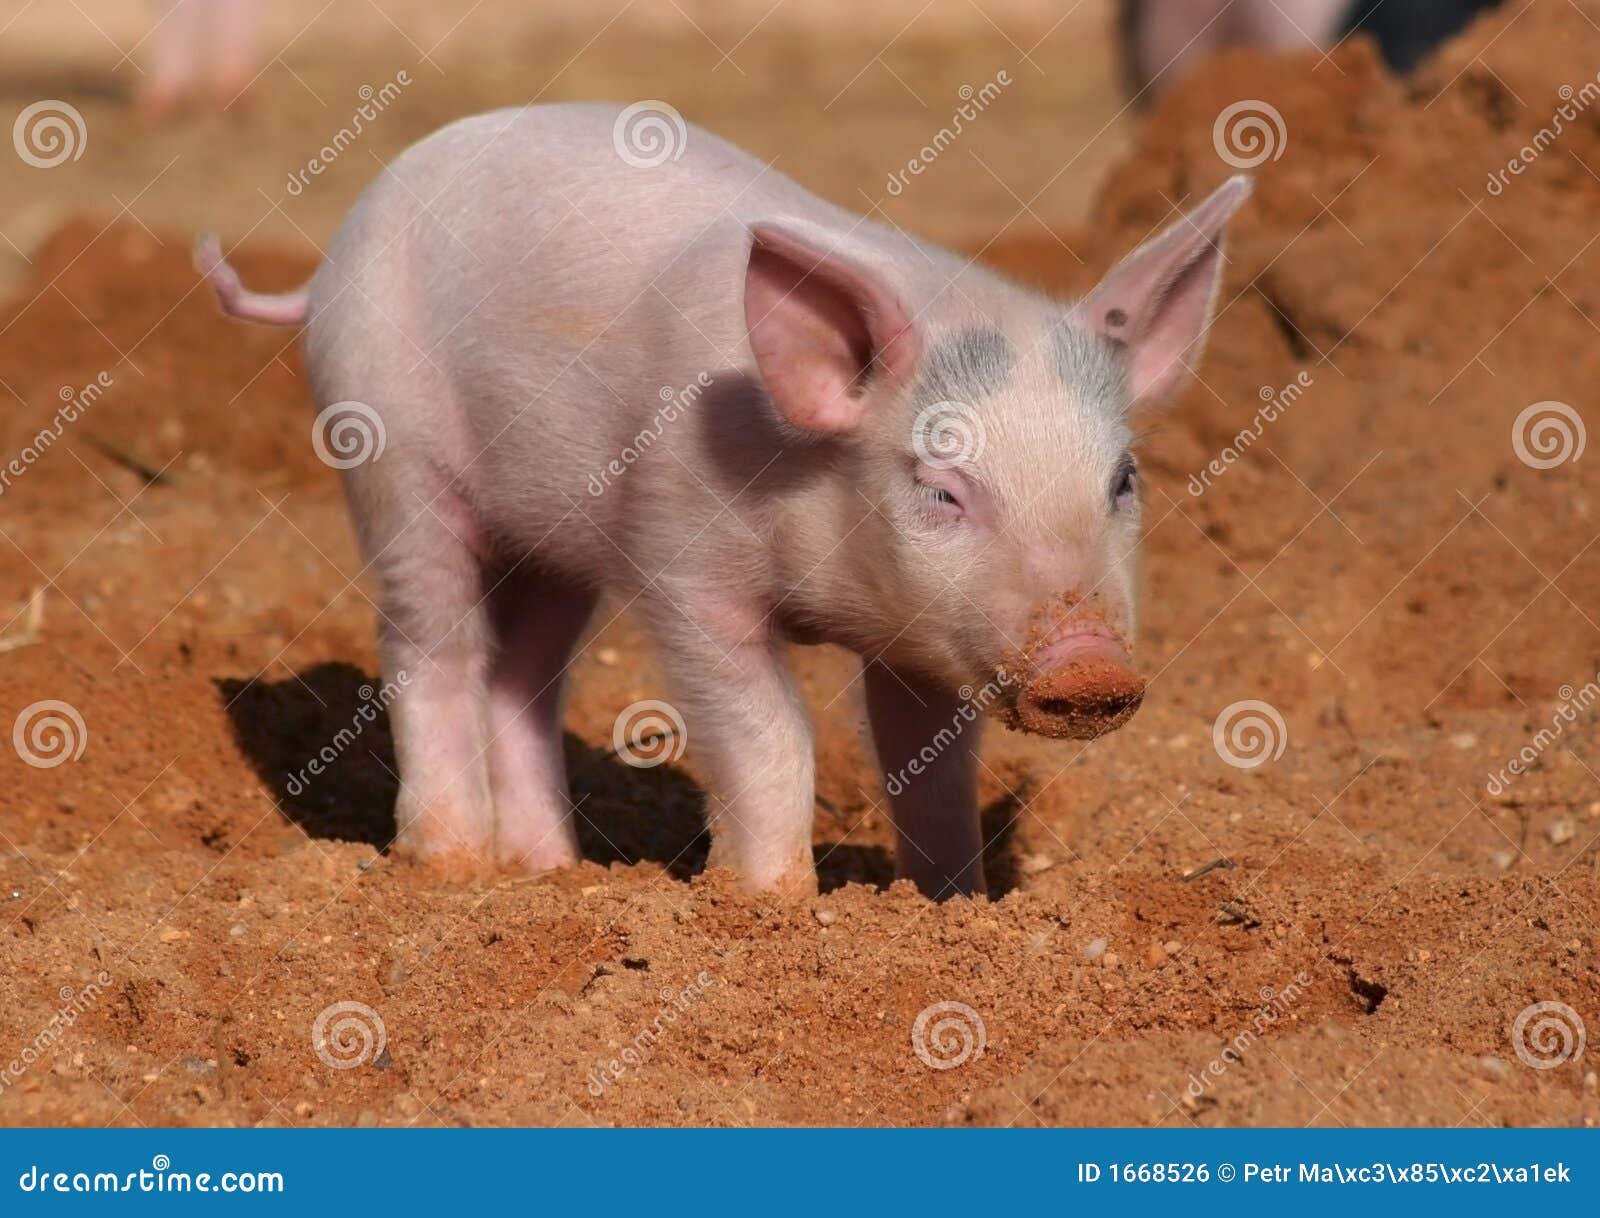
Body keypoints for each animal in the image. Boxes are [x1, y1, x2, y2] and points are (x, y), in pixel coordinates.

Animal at [196, 103, 1249, 899]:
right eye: (943, 489)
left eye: (1122, 479)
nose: (1092, 667)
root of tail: (327, 265)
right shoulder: (681, 561)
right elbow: (773, 732)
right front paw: (770, 901)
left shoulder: (923, 637)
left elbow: (932, 768)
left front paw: (954, 903)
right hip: (387, 451)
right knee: (430, 644)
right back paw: (454, 868)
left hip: (555, 542)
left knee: (524, 678)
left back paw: (552, 872)